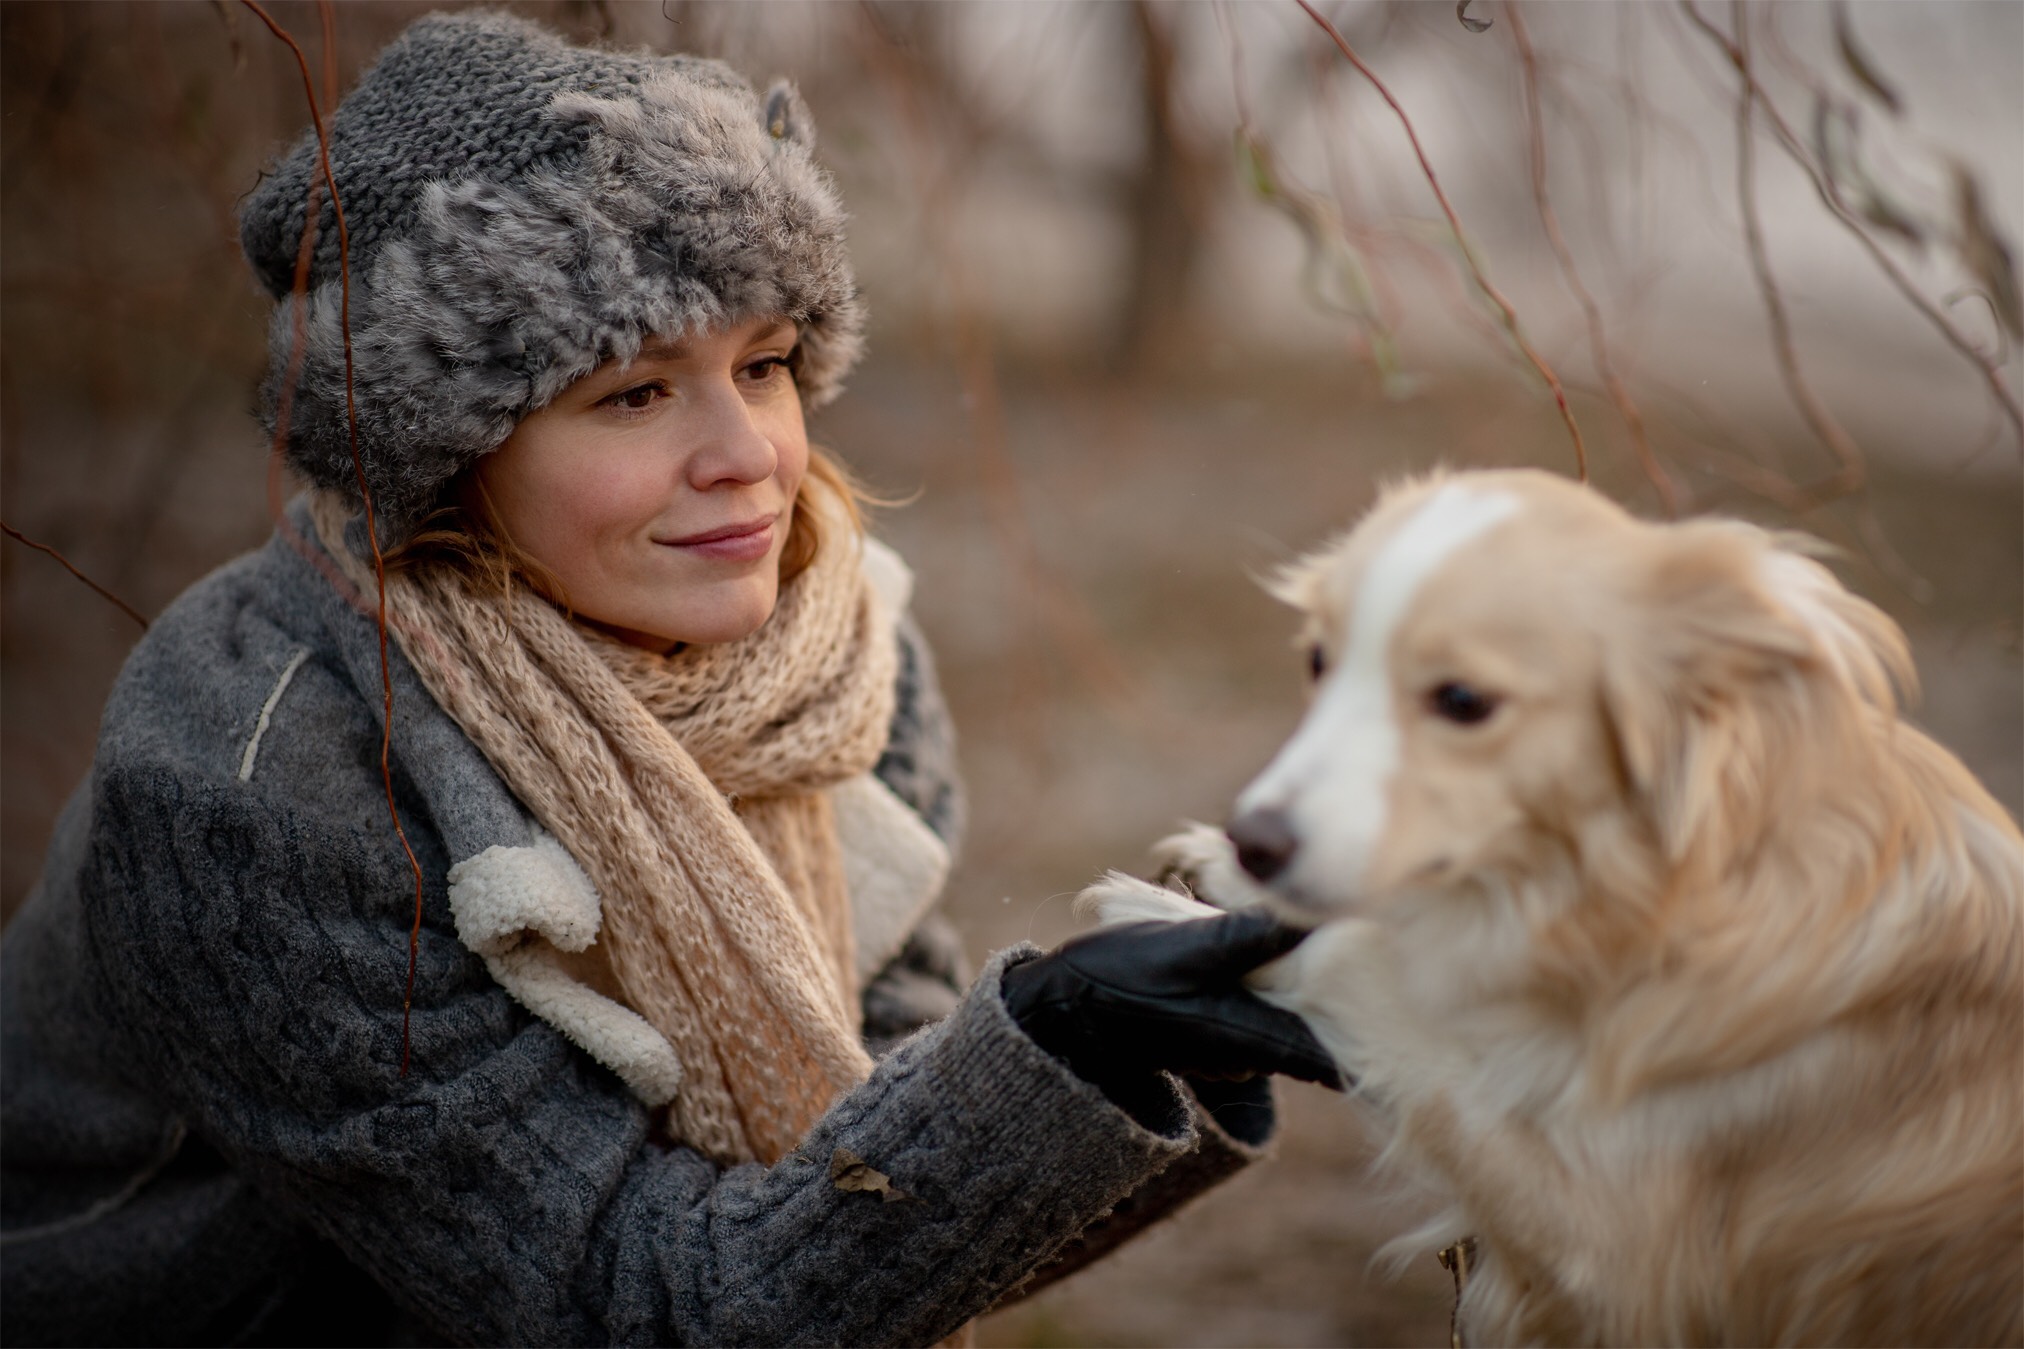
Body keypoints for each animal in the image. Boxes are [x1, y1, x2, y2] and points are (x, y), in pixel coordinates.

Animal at [1092, 469, 2023, 1342]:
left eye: (1463, 701)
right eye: (1319, 660)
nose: (1254, 840)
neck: (1650, 900)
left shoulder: (1618, 1257)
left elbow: (1365, 971)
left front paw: (1171, 920)